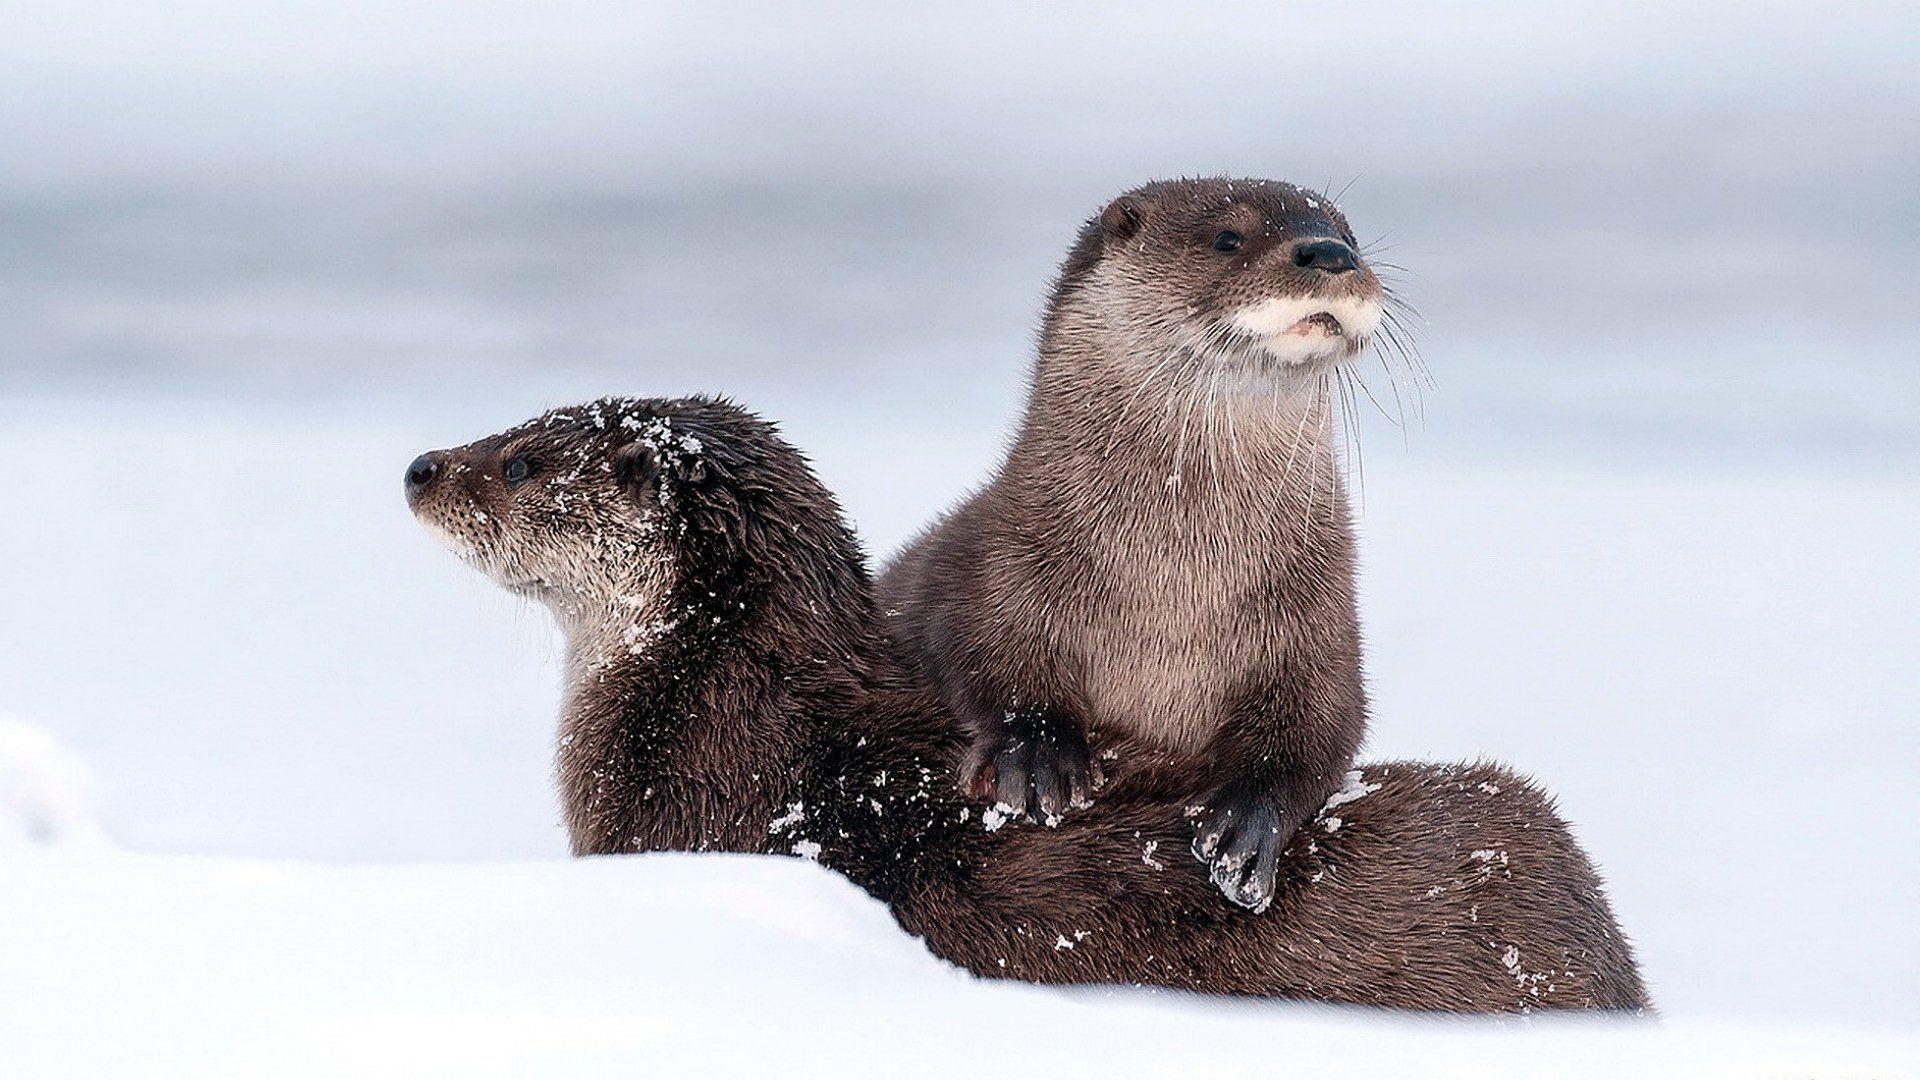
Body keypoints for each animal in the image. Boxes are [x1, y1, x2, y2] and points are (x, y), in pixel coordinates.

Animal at [880, 177, 1395, 912]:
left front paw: (1247, 825)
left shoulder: (1316, 621)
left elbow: (1325, 726)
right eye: (1228, 238)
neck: (1176, 584)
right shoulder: (991, 567)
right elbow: (974, 645)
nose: (1329, 254)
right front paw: (1037, 755)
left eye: (1348, 234)